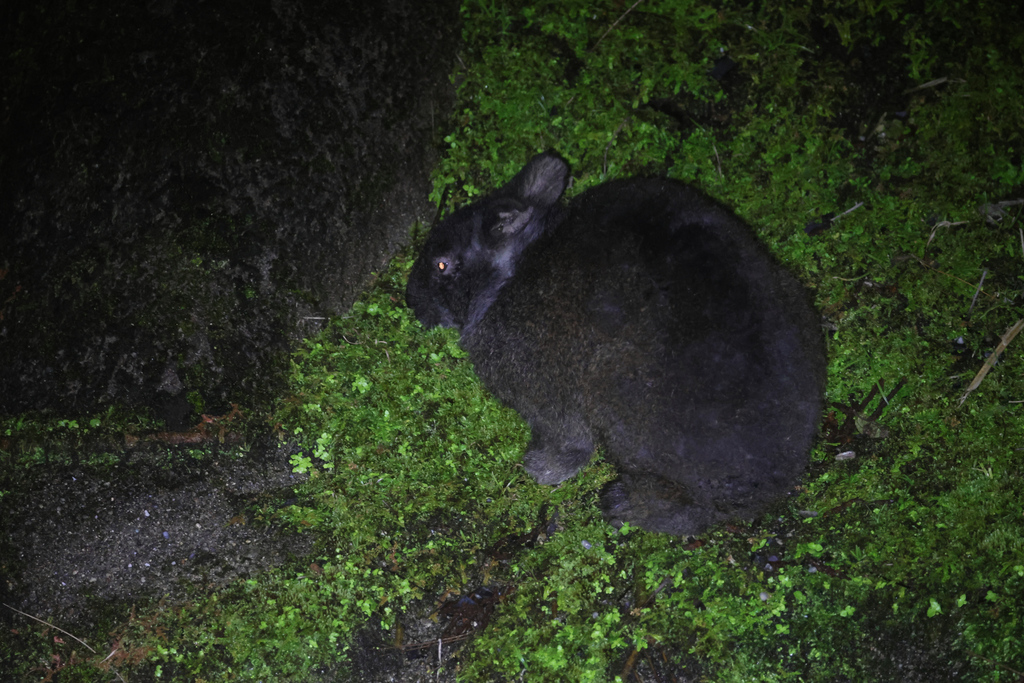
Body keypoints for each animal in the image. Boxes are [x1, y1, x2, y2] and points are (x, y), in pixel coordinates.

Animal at [406, 151, 826, 536]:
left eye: (442, 264)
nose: (410, 300)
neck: (511, 272)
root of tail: (770, 480)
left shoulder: (546, 399)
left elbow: (569, 444)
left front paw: (540, 470)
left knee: (692, 510)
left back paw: (621, 505)